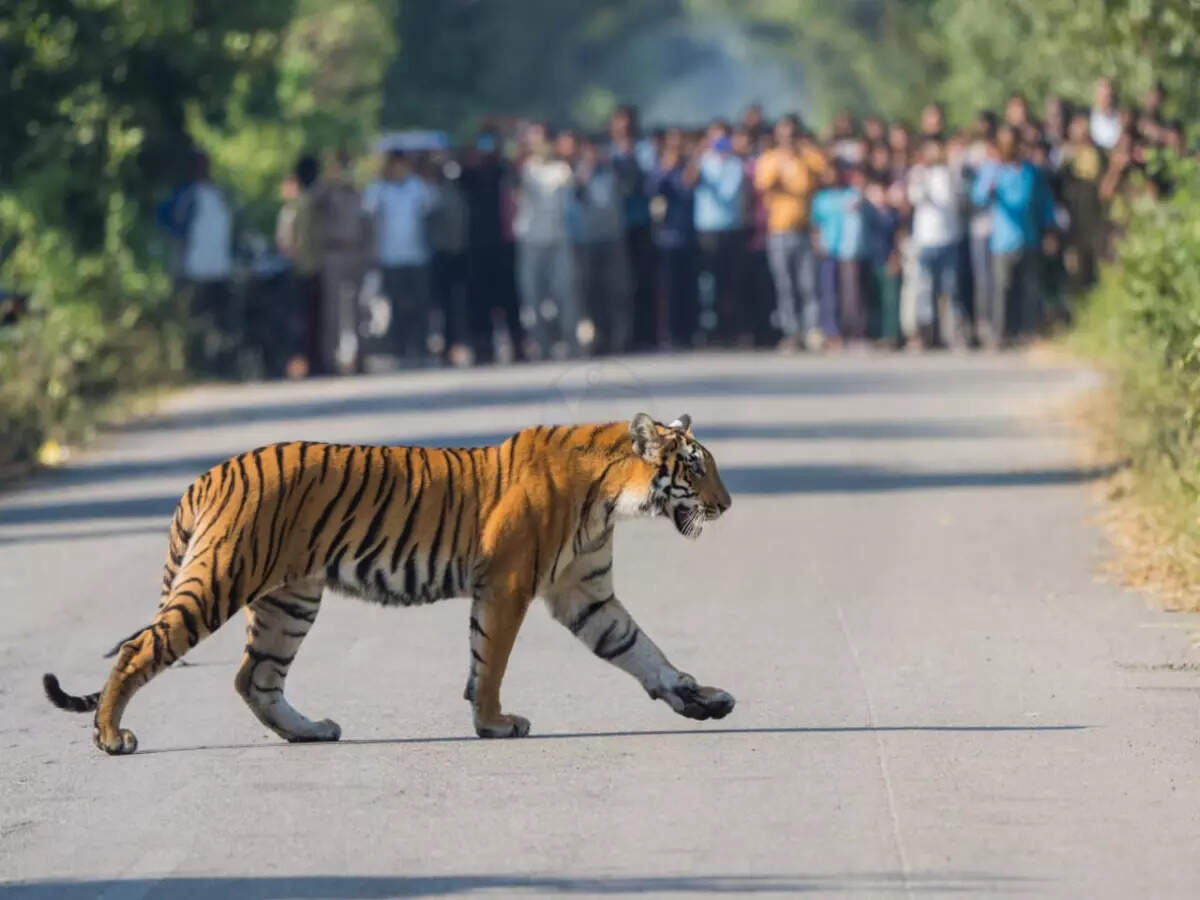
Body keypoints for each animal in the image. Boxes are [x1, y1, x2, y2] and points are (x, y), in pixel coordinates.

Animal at [43, 413, 735, 755]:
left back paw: (310, 731)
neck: (610, 496)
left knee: (255, 676)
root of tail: (208, 475)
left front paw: (701, 699)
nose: (726, 505)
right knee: (141, 648)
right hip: (222, 578)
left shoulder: (585, 593)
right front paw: (494, 724)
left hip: (290, 599)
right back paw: (110, 737)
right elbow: (491, 662)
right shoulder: (509, 584)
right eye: (695, 468)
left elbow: (642, 650)